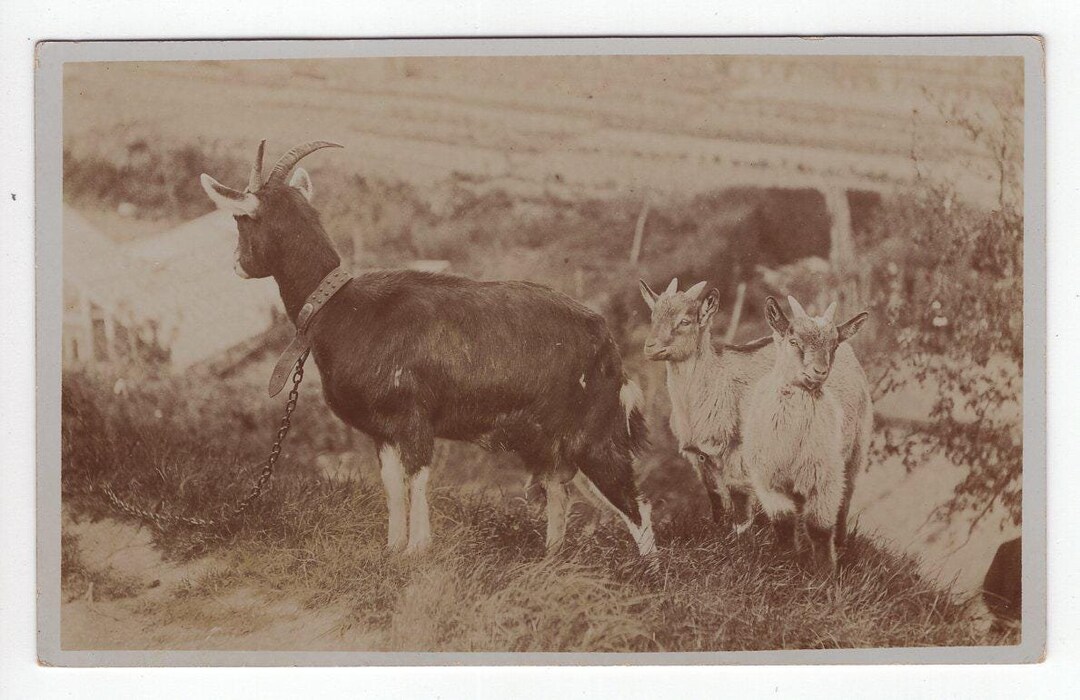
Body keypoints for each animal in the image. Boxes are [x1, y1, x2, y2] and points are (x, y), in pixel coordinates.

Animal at [199, 140, 655, 557]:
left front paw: (418, 550)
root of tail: (609, 345)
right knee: (562, 491)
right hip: (550, 444)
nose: (236, 264)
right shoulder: (382, 430)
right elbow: (392, 484)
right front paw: (392, 548)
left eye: (241, 218)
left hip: (595, 436)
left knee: (637, 506)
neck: (342, 308)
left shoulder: (415, 417)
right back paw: (551, 561)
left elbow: (418, 479)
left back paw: (647, 574)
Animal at [639, 278, 773, 532]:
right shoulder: (699, 454)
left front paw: (740, 533)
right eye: (653, 316)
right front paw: (719, 530)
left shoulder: (735, 447)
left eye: (685, 321)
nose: (650, 347)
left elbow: (738, 491)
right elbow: (715, 495)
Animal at [741, 296, 872, 570]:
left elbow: (819, 528)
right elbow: (783, 521)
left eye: (833, 345)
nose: (819, 372)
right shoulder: (767, 480)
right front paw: (785, 561)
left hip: (855, 453)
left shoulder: (824, 480)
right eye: (793, 341)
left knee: (846, 499)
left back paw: (842, 542)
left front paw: (825, 572)